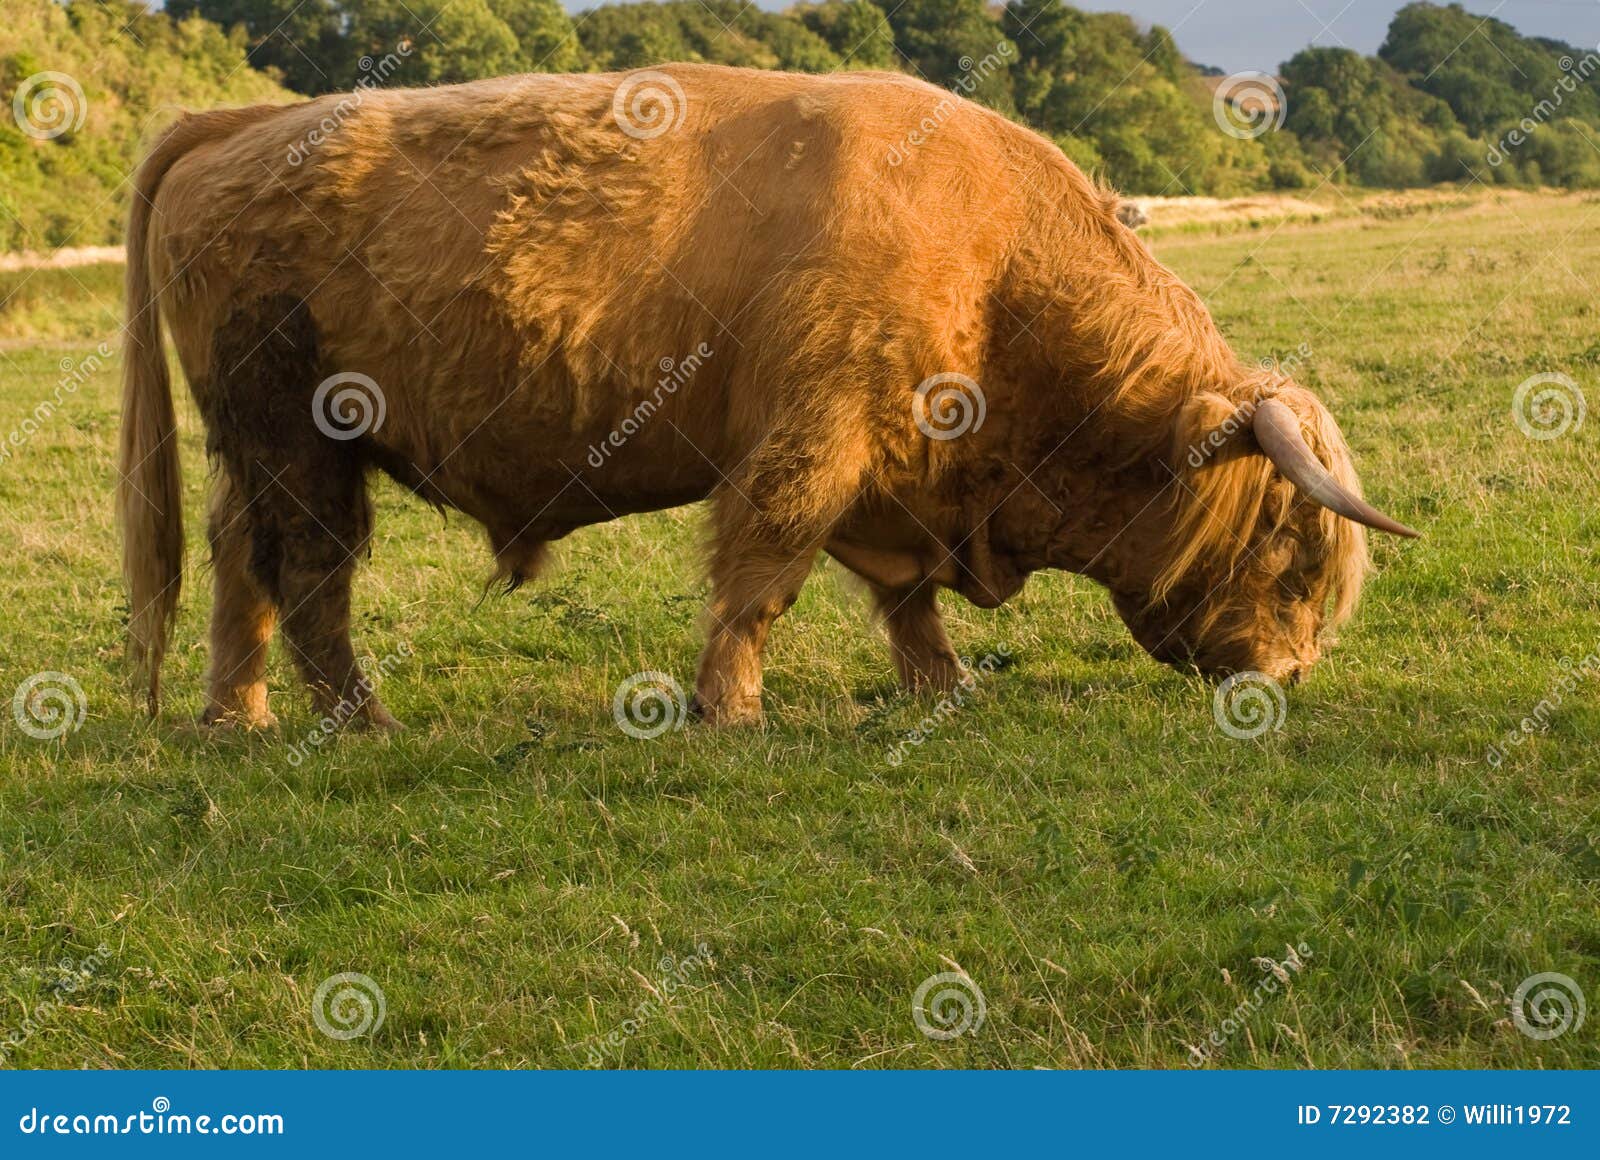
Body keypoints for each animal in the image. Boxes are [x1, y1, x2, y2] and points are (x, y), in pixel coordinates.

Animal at [118, 63, 1416, 731]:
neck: (997, 267)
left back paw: (240, 716)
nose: (1286, 677)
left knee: (244, 566)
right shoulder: (811, 436)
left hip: (258, 449)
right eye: (1293, 541)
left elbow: (901, 599)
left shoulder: (892, 474)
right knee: (309, 570)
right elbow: (763, 575)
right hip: (299, 437)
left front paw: (941, 688)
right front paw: (729, 711)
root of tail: (246, 123)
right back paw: (357, 718)